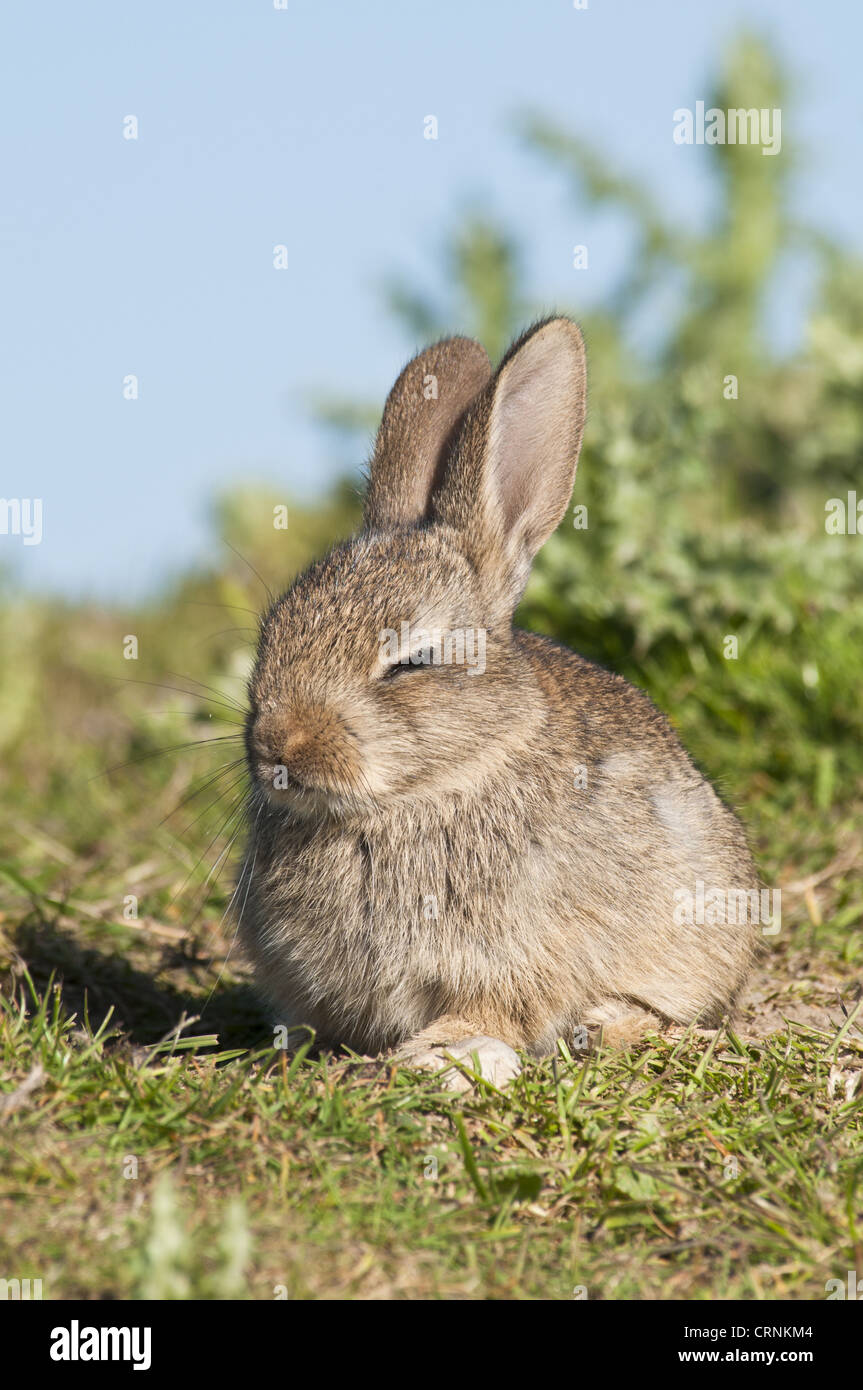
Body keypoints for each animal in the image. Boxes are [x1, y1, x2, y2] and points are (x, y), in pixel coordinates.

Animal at [238, 316, 759, 1087]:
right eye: (272, 631)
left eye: (411, 662)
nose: (279, 743)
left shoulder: (518, 959)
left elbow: (497, 1009)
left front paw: (445, 1056)